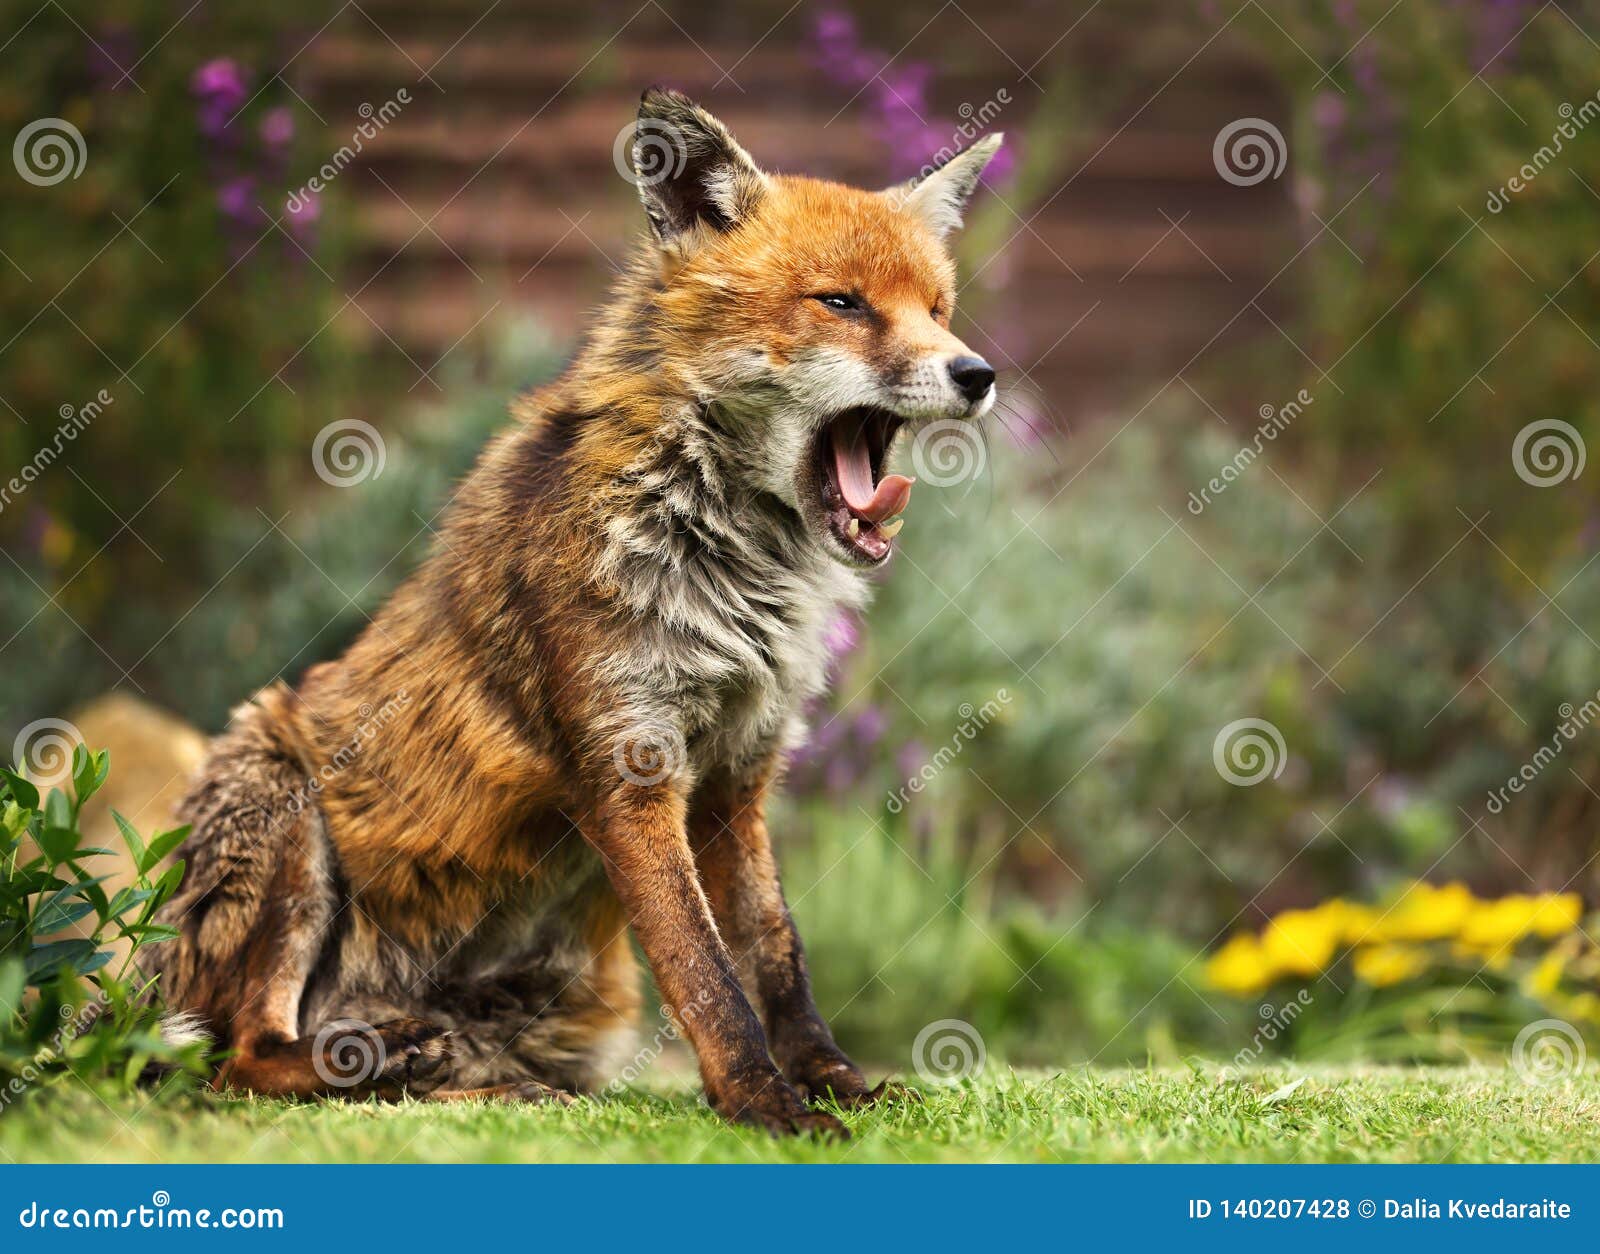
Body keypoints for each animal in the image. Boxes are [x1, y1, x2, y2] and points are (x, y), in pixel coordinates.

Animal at [149, 88, 1001, 1137]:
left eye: (938, 310)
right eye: (842, 303)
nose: (977, 374)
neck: (727, 563)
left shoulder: (737, 781)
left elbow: (776, 956)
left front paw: (834, 1079)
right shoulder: (629, 772)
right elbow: (707, 975)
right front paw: (765, 1103)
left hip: (572, 1012)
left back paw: (461, 1078)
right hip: (286, 812)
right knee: (240, 1060)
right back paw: (370, 1062)